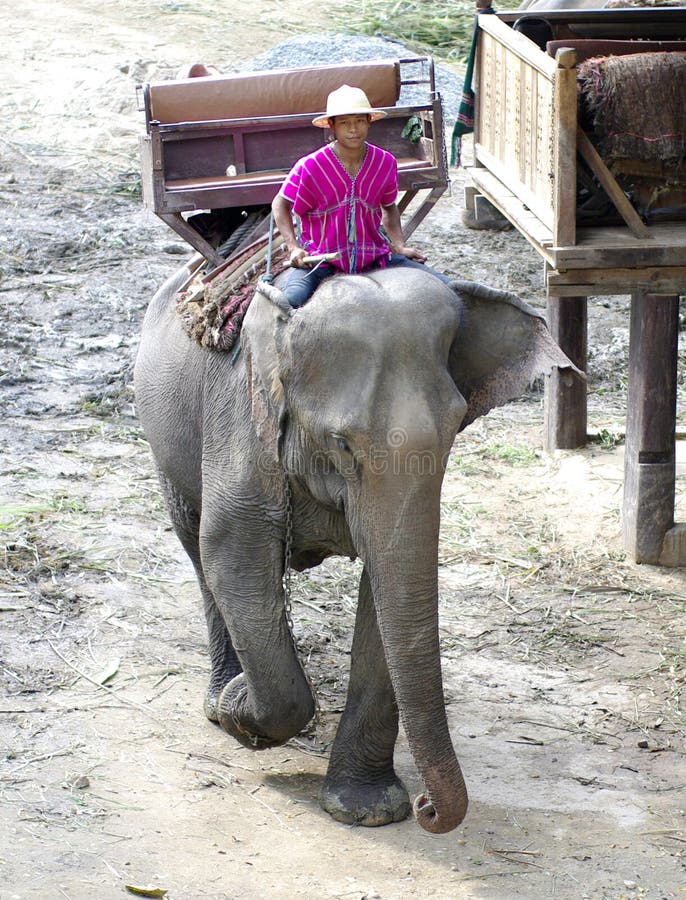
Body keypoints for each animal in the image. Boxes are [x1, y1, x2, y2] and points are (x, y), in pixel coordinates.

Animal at [133, 263, 577, 834]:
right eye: (341, 443)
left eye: (455, 431)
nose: (427, 807)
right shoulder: (242, 424)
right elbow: (231, 555)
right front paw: (240, 708)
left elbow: (385, 594)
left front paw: (367, 810)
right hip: (165, 443)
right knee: (197, 548)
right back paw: (220, 696)